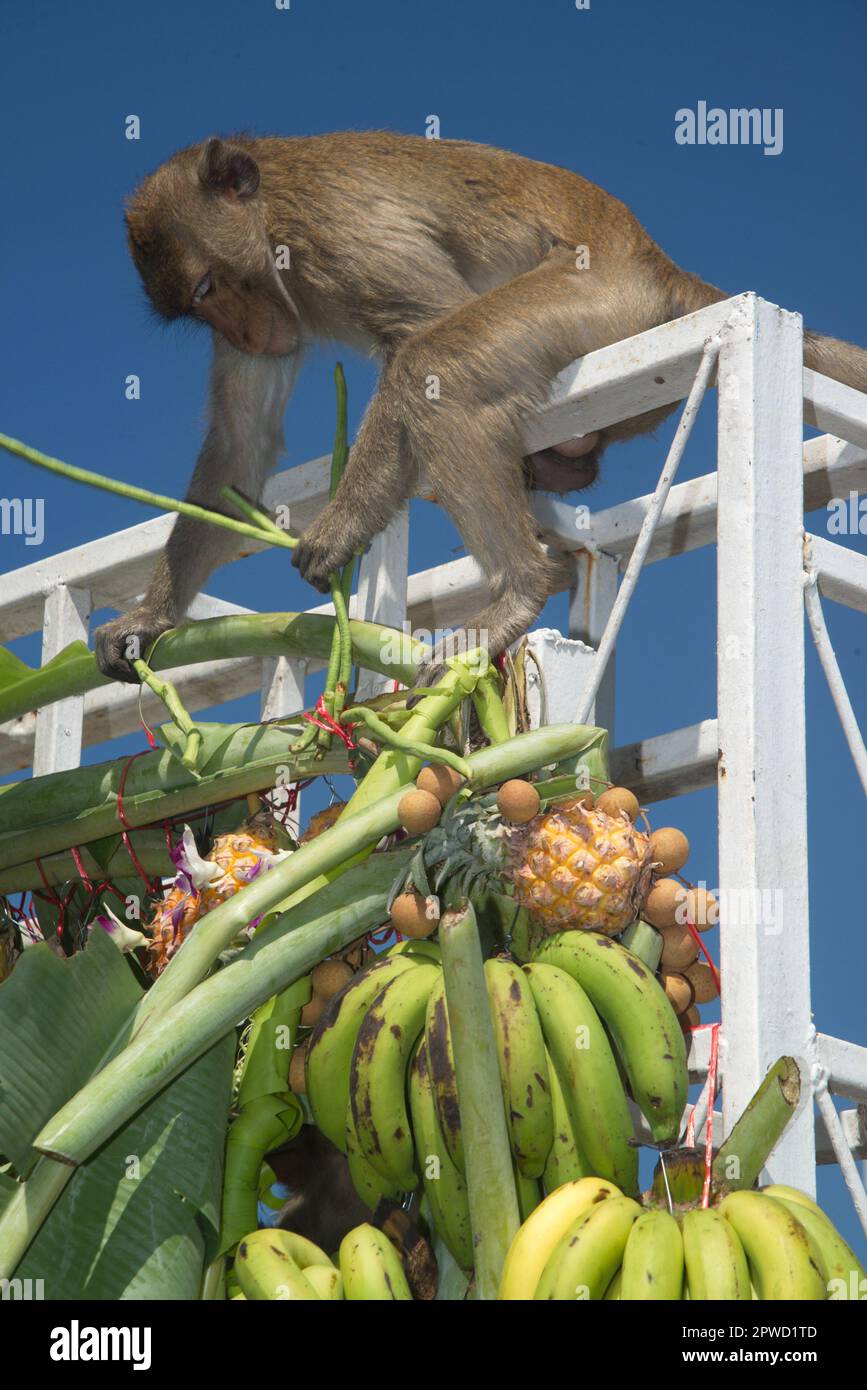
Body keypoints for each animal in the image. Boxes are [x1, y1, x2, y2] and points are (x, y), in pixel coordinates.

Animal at [94, 131, 867, 685]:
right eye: (200, 309)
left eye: (207, 290)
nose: (245, 334)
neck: (271, 209)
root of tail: (661, 268)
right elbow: (238, 448)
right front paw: (149, 615)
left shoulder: (330, 235)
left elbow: (423, 333)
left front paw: (342, 524)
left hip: (598, 300)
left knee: (436, 367)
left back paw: (521, 590)